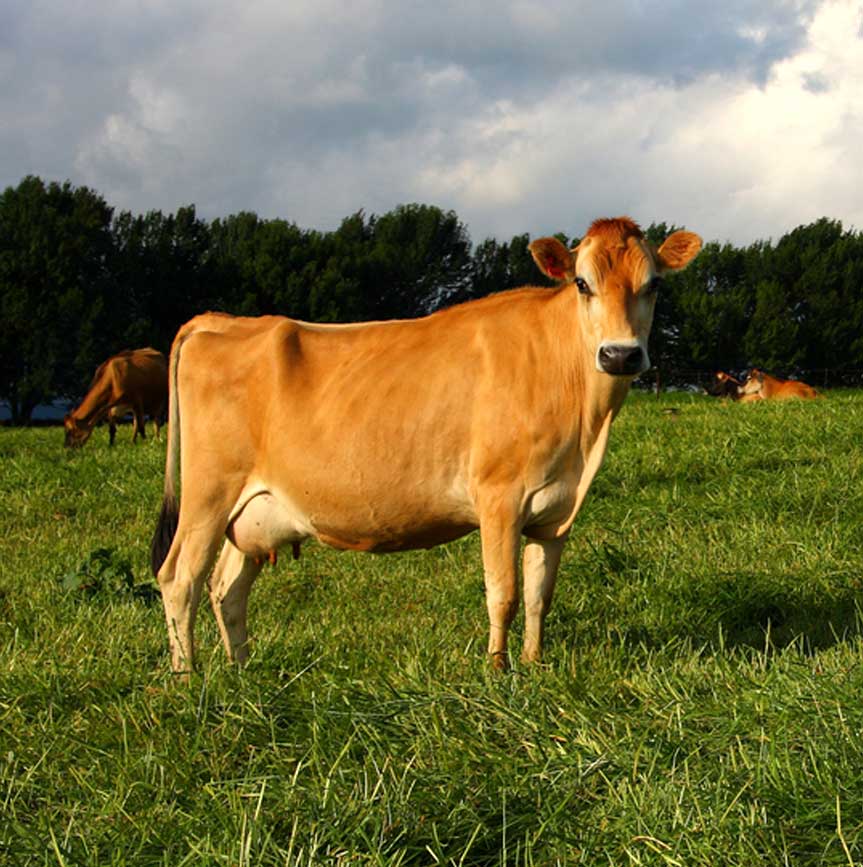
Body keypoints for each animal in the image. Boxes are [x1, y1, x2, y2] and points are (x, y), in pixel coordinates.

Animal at [150, 218, 702, 673]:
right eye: (582, 283)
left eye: (654, 284)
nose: (619, 355)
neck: (585, 430)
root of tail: (222, 320)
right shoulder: (500, 497)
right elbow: (503, 592)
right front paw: (498, 671)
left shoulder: (556, 512)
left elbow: (539, 593)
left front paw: (534, 665)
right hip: (207, 494)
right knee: (180, 578)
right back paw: (188, 679)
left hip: (251, 509)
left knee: (226, 588)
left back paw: (242, 672)